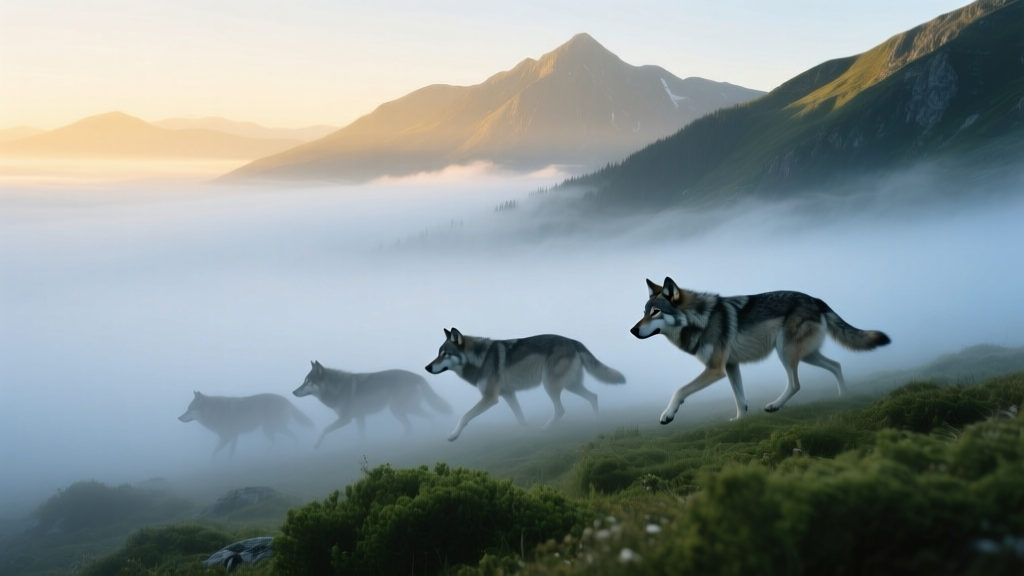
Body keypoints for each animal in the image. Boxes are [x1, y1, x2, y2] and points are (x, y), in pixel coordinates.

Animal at [178, 391, 314, 458]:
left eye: (189, 410)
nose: (178, 418)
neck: (215, 411)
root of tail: (287, 400)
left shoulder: (227, 437)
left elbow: (214, 452)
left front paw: (214, 464)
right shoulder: (234, 436)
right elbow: (230, 453)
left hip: (270, 428)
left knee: (279, 441)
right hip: (272, 429)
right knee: (289, 438)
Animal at [293, 361, 453, 448]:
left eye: (308, 381)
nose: (293, 392)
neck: (337, 388)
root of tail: (418, 376)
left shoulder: (346, 419)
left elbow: (325, 429)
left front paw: (316, 445)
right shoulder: (359, 417)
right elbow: (362, 436)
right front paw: (361, 448)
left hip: (397, 409)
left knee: (411, 426)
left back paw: (398, 442)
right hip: (407, 409)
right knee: (429, 417)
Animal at [425, 328, 627, 441]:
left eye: (445, 354)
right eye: (437, 353)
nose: (427, 367)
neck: (479, 358)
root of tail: (573, 341)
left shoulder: (490, 398)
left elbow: (465, 416)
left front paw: (453, 435)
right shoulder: (508, 394)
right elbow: (521, 419)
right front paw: (528, 433)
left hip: (549, 385)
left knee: (561, 410)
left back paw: (546, 429)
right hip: (570, 386)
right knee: (593, 397)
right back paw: (595, 423)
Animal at [630, 277, 890, 424]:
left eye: (655, 312)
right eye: (643, 312)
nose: (632, 330)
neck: (700, 319)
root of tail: (815, 299)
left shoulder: (715, 369)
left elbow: (680, 390)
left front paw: (668, 414)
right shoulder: (730, 366)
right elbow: (740, 399)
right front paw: (739, 422)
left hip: (785, 352)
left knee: (796, 384)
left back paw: (774, 406)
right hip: (807, 355)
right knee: (836, 365)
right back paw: (844, 397)